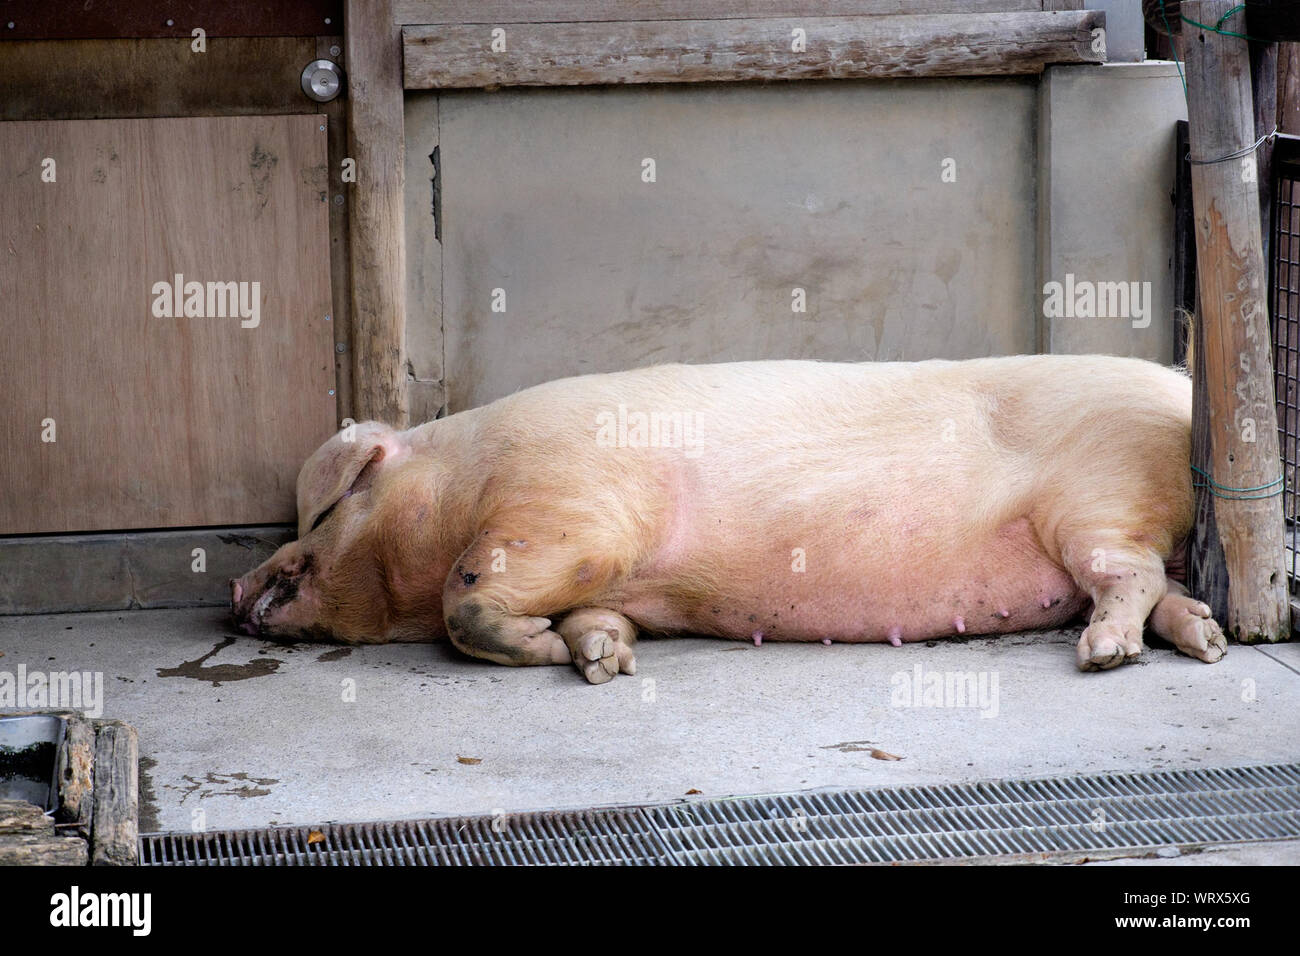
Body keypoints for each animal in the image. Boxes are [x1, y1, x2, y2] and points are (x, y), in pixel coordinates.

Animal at [231, 355, 1227, 684]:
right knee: (1165, 588)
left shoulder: (570, 509)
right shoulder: (602, 567)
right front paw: (606, 661)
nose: (237, 586)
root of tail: (1181, 393)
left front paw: (559, 654)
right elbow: (592, 613)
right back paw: (1209, 643)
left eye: (326, 505)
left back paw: (1104, 657)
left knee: (1131, 574)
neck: (464, 485)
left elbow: (463, 599)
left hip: (1096, 501)